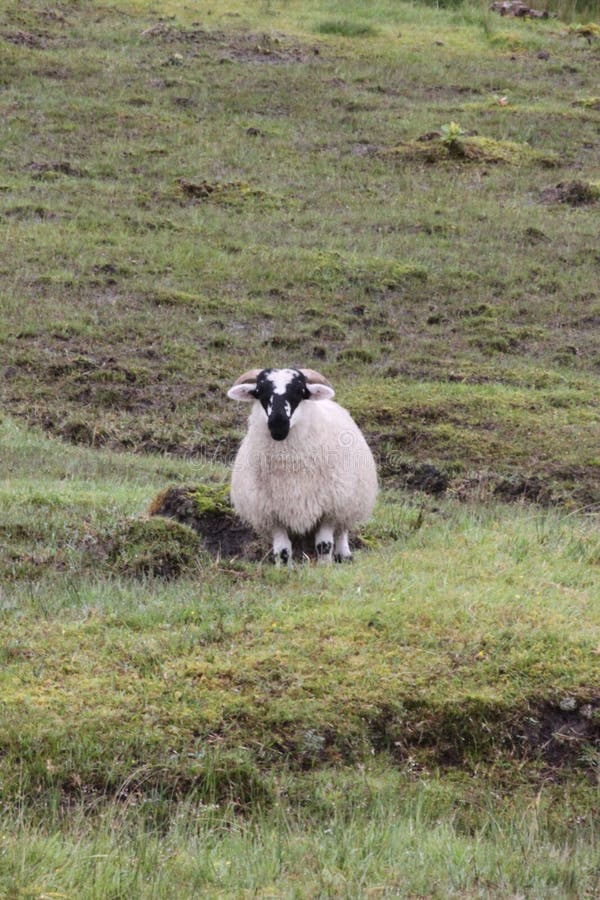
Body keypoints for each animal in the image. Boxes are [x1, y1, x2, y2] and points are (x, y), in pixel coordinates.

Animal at [227, 367, 378, 564]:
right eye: (259, 392)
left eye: (300, 391)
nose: (278, 424)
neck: (290, 468)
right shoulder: (272, 514)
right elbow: (282, 551)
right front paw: (285, 569)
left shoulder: (329, 508)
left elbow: (324, 545)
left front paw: (325, 567)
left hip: (349, 501)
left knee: (341, 531)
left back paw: (344, 556)